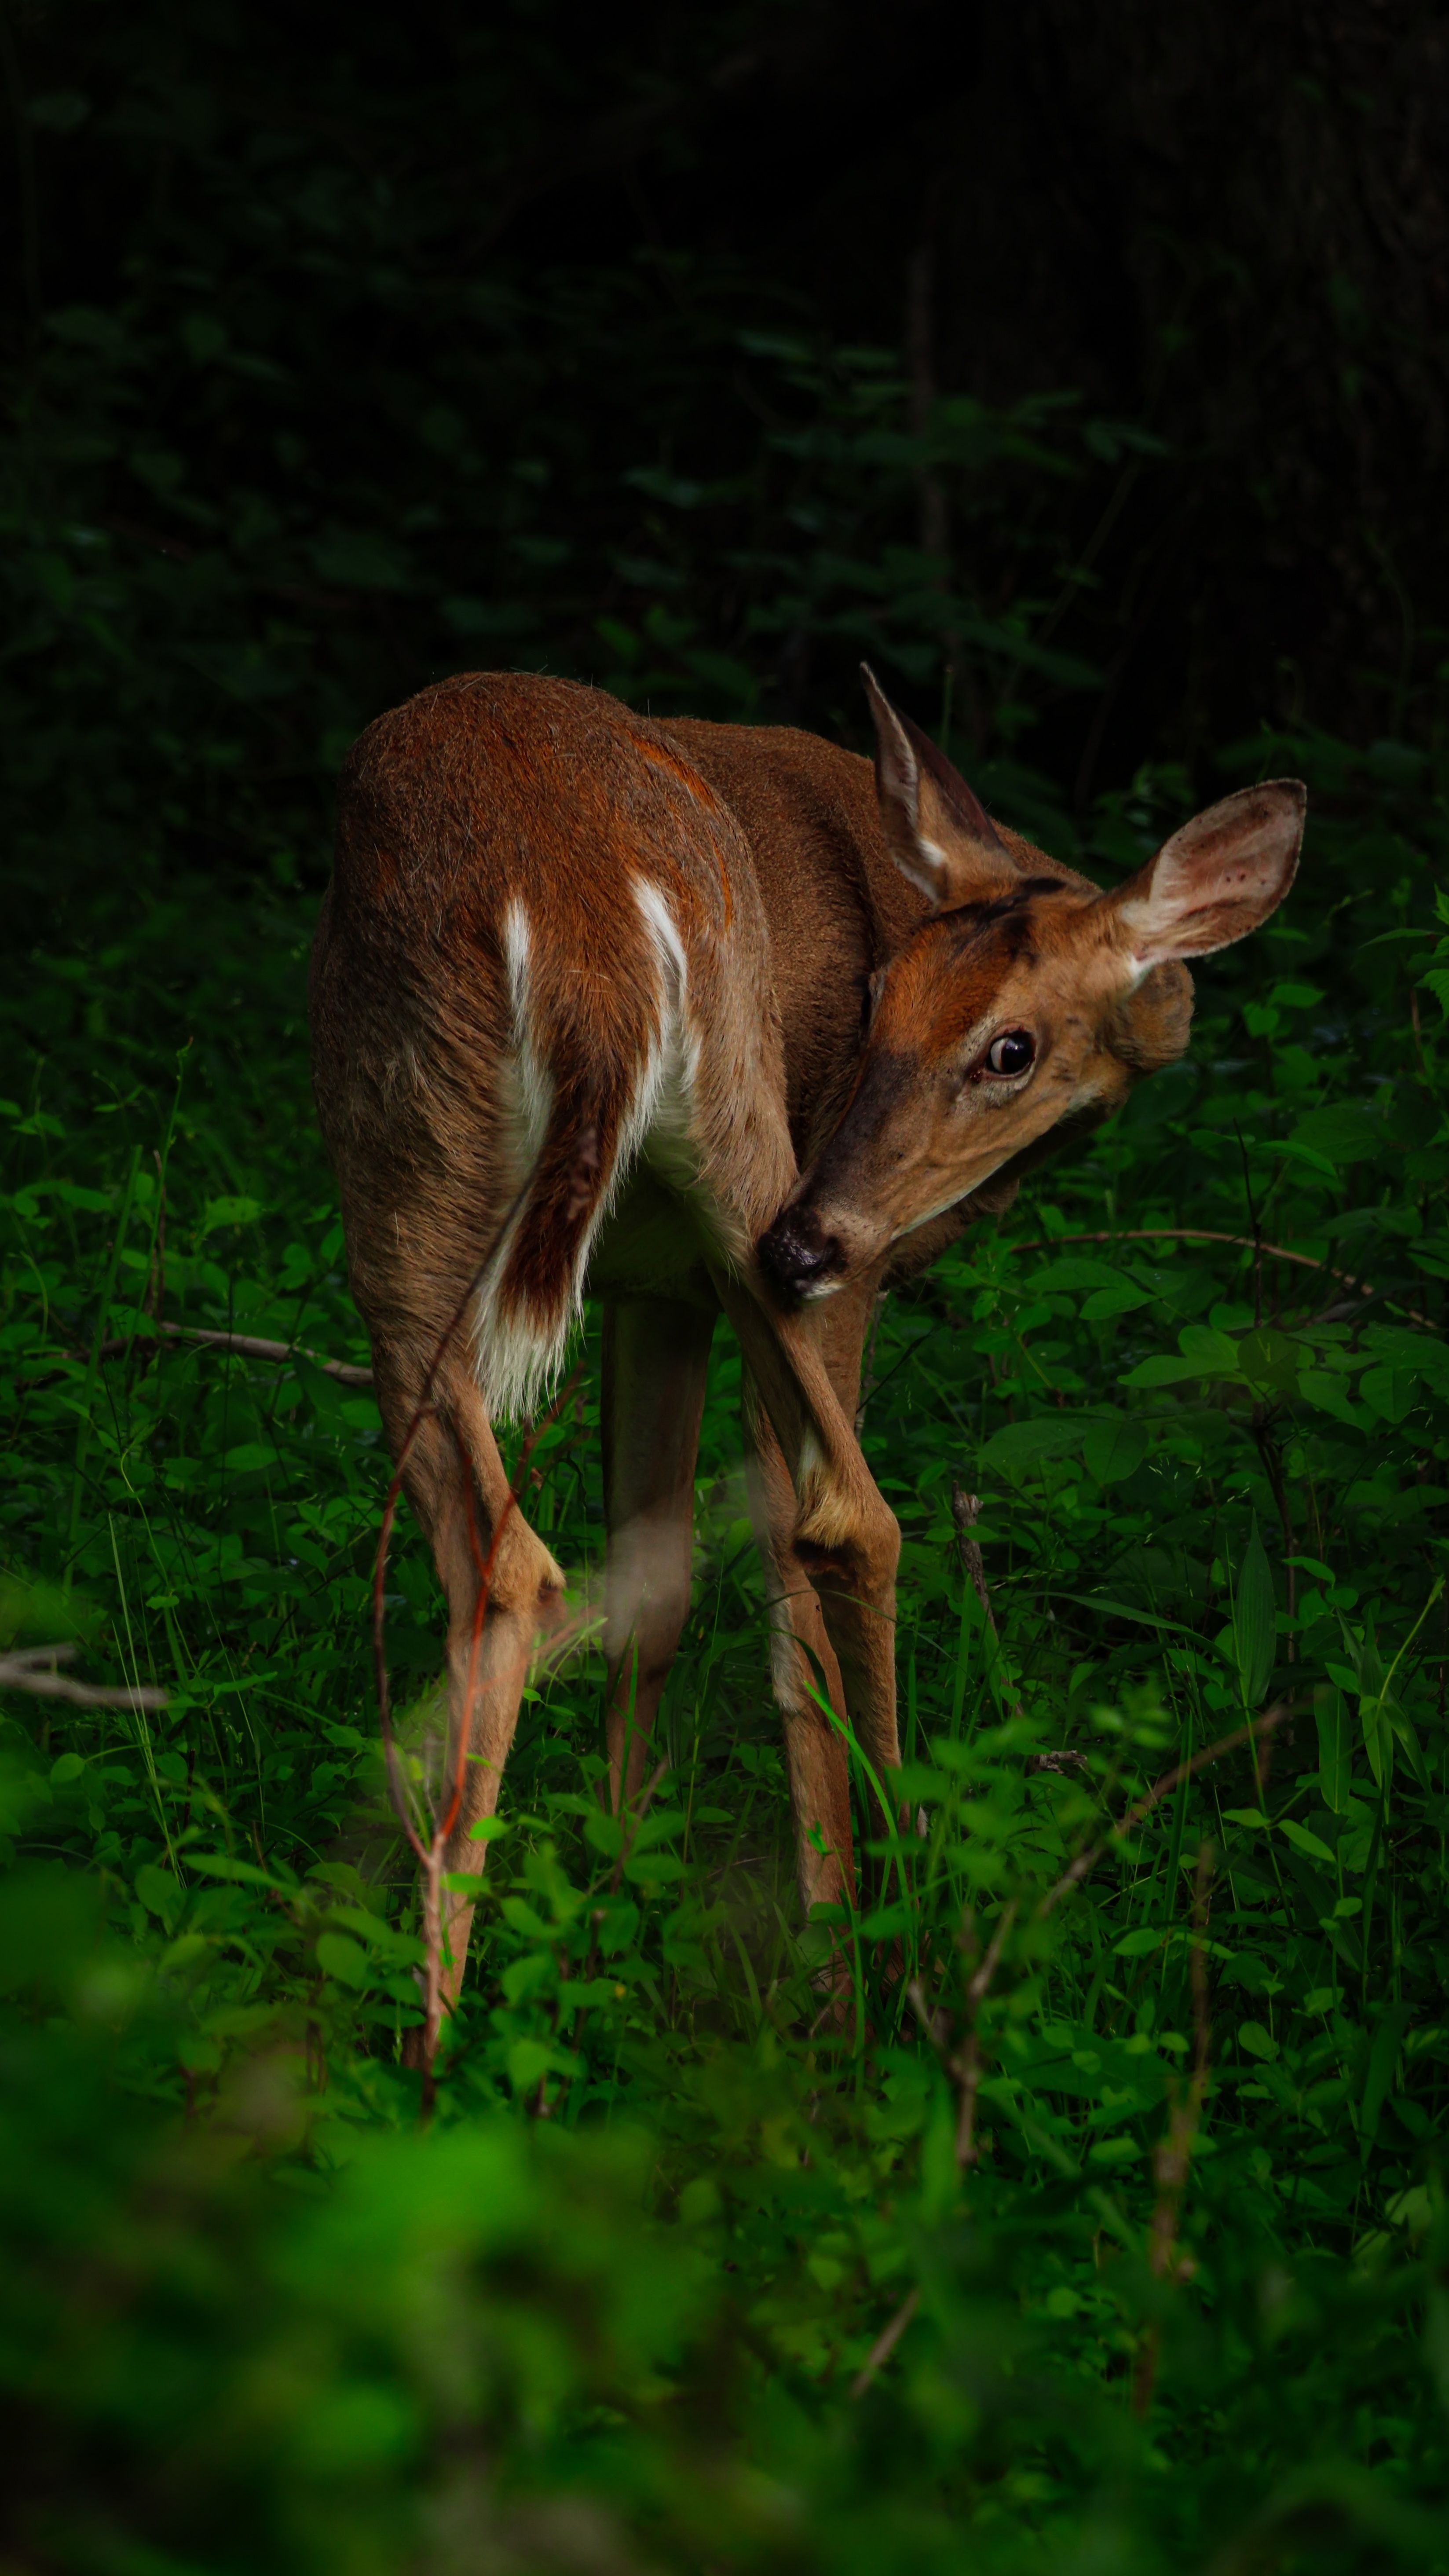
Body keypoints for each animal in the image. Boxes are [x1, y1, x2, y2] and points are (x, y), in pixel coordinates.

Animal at [310, 664, 1304, 2026]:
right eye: (876, 999)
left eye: (1007, 1047)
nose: (806, 1238)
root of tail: (580, 909)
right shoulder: (825, 1274)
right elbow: (780, 1594)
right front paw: (820, 1951)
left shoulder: (660, 1288)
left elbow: (658, 1584)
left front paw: (612, 1909)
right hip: (644, 1170)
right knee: (839, 1524)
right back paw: (894, 1961)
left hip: (461, 1196)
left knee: (521, 1558)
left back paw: (446, 2024)